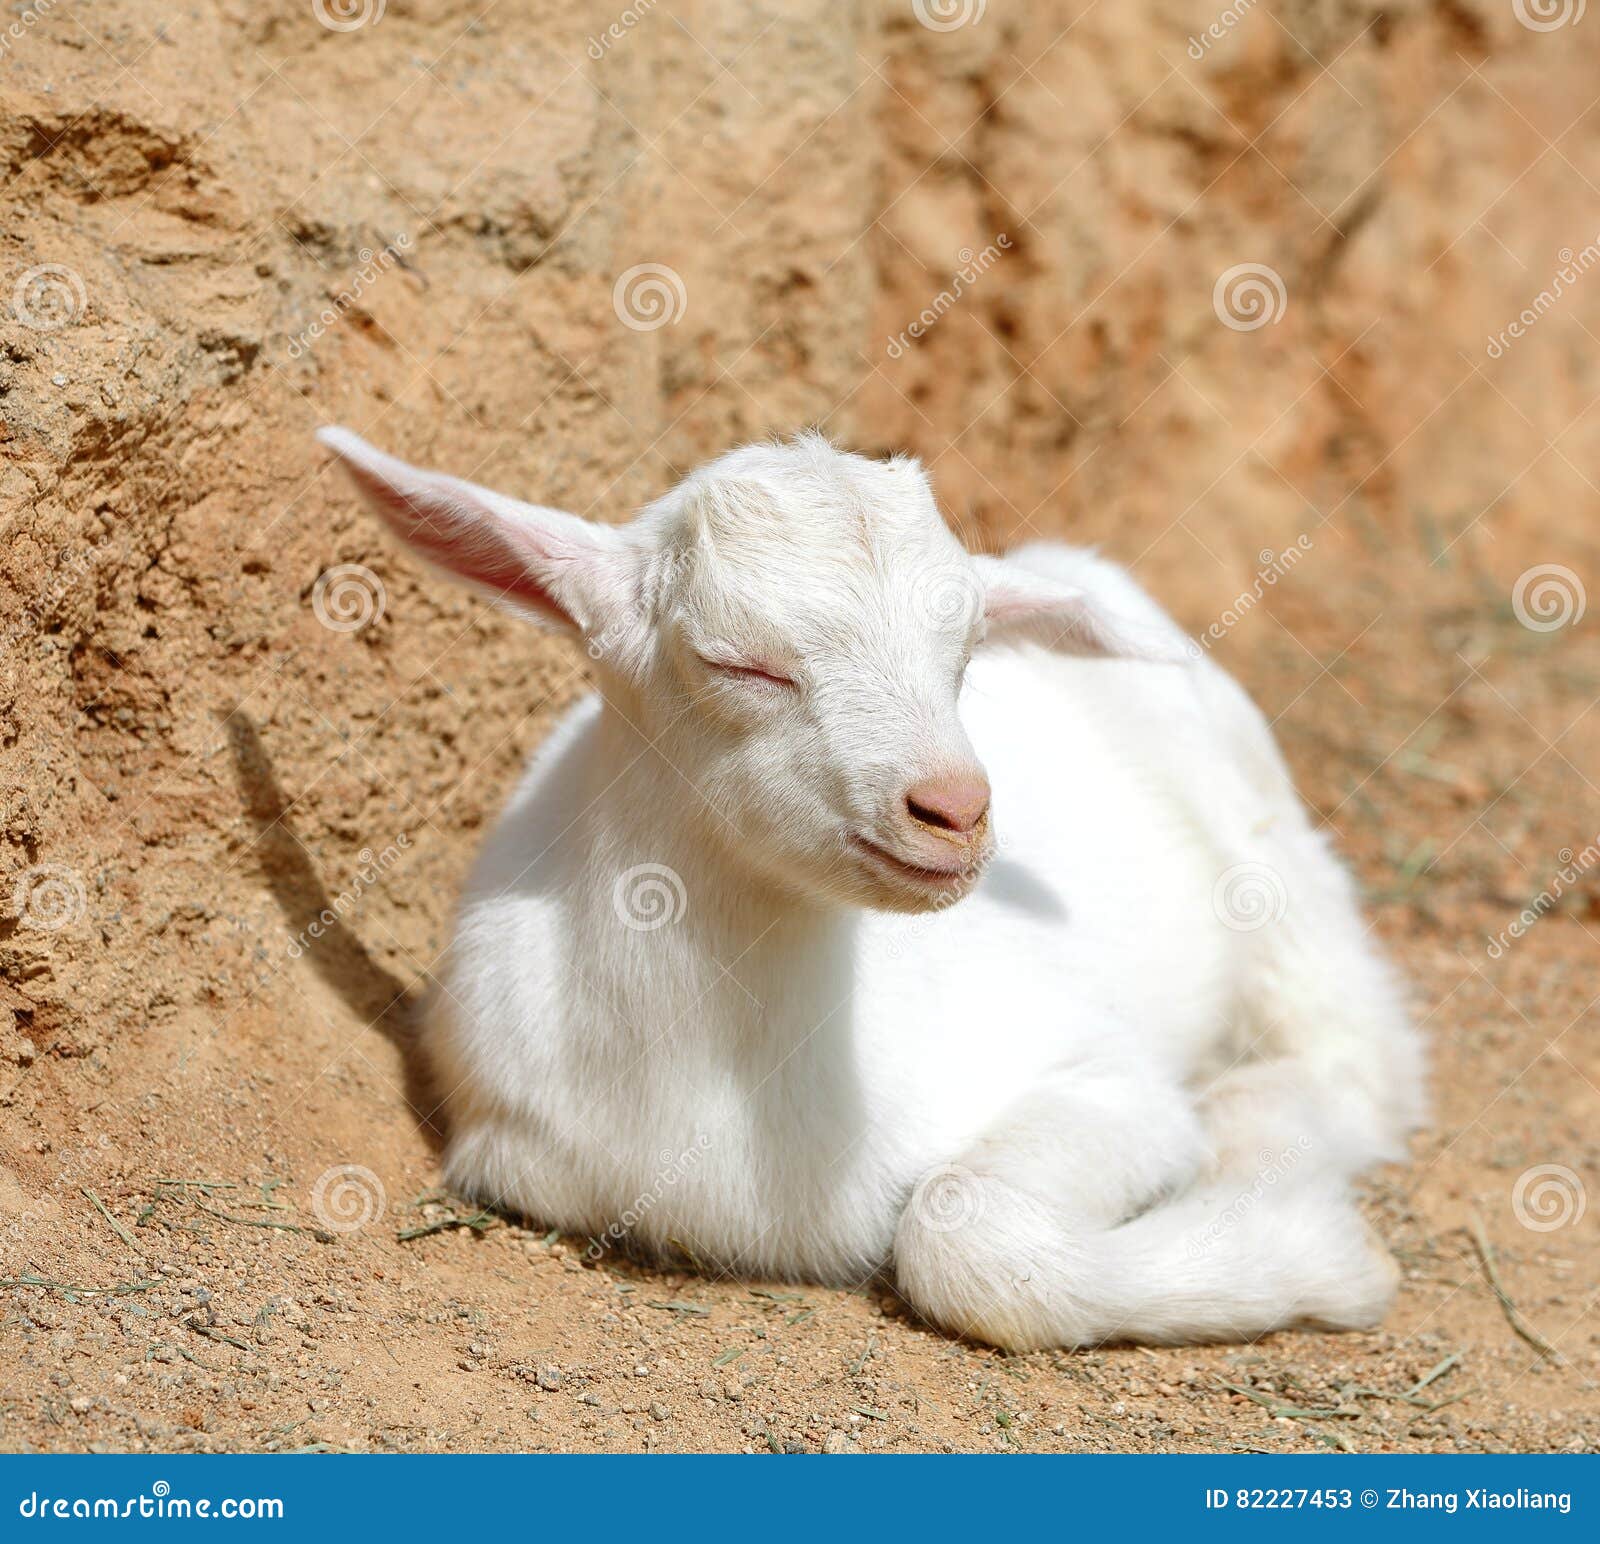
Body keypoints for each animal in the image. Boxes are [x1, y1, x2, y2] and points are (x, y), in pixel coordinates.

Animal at [317, 424, 1425, 1350]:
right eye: (738, 662)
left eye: (965, 652)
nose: (954, 808)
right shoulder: (514, 1142)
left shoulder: (1107, 1076)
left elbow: (962, 1232)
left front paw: (1332, 1259)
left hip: (1263, 842)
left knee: (1355, 1046)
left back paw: (1257, 1127)